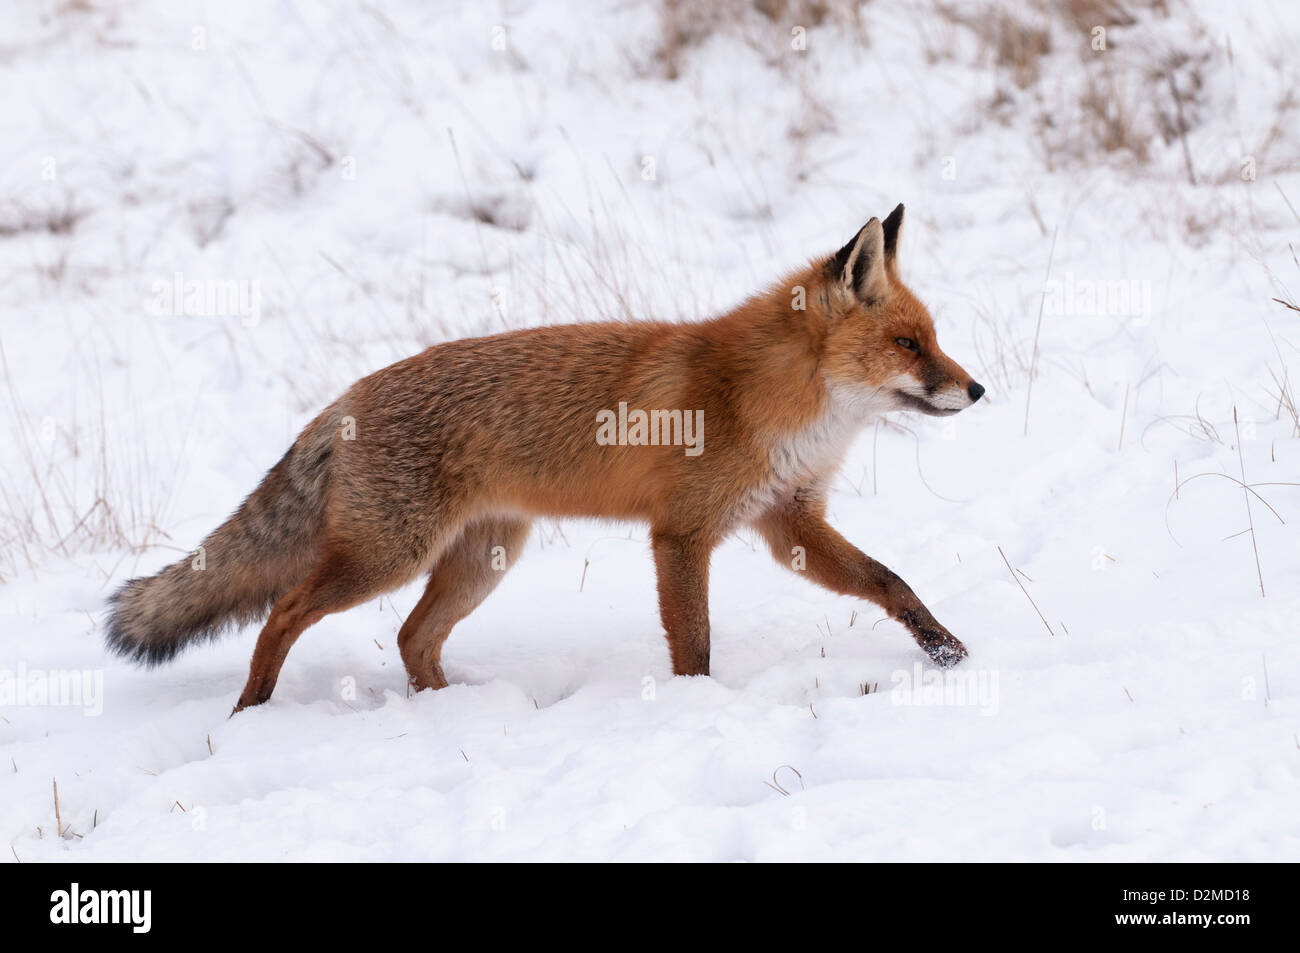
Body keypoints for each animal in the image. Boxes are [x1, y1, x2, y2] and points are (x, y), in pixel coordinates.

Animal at [106, 203, 985, 713]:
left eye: (933, 337)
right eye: (909, 344)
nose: (976, 389)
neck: (777, 402)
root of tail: (346, 396)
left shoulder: (787, 519)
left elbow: (891, 582)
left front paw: (945, 648)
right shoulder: (682, 534)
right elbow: (695, 647)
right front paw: (697, 715)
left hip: (482, 558)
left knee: (413, 638)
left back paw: (450, 716)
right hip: (388, 558)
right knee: (285, 612)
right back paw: (250, 710)